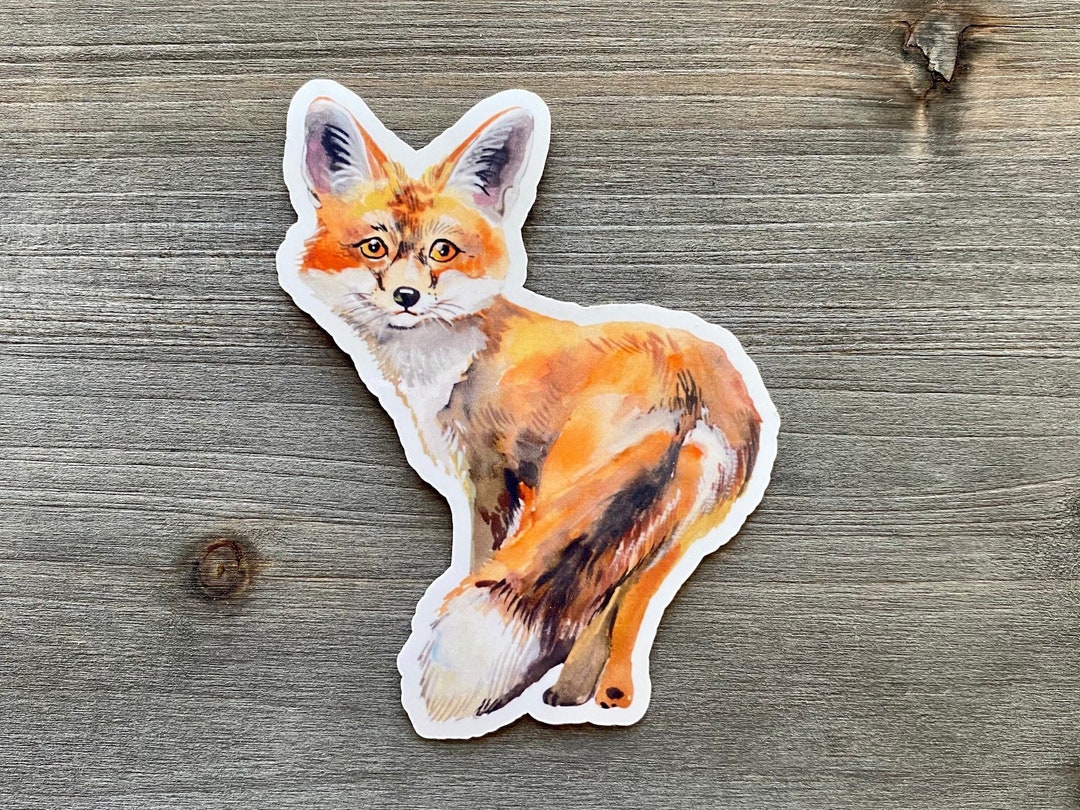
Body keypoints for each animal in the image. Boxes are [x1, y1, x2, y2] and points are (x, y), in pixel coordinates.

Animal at [277, 80, 779, 739]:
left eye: (442, 250)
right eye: (374, 247)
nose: (407, 297)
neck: (450, 356)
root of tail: (693, 374)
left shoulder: (491, 479)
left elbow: (480, 564)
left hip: (575, 493)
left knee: (589, 598)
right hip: (677, 527)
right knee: (621, 604)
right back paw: (589, 696)